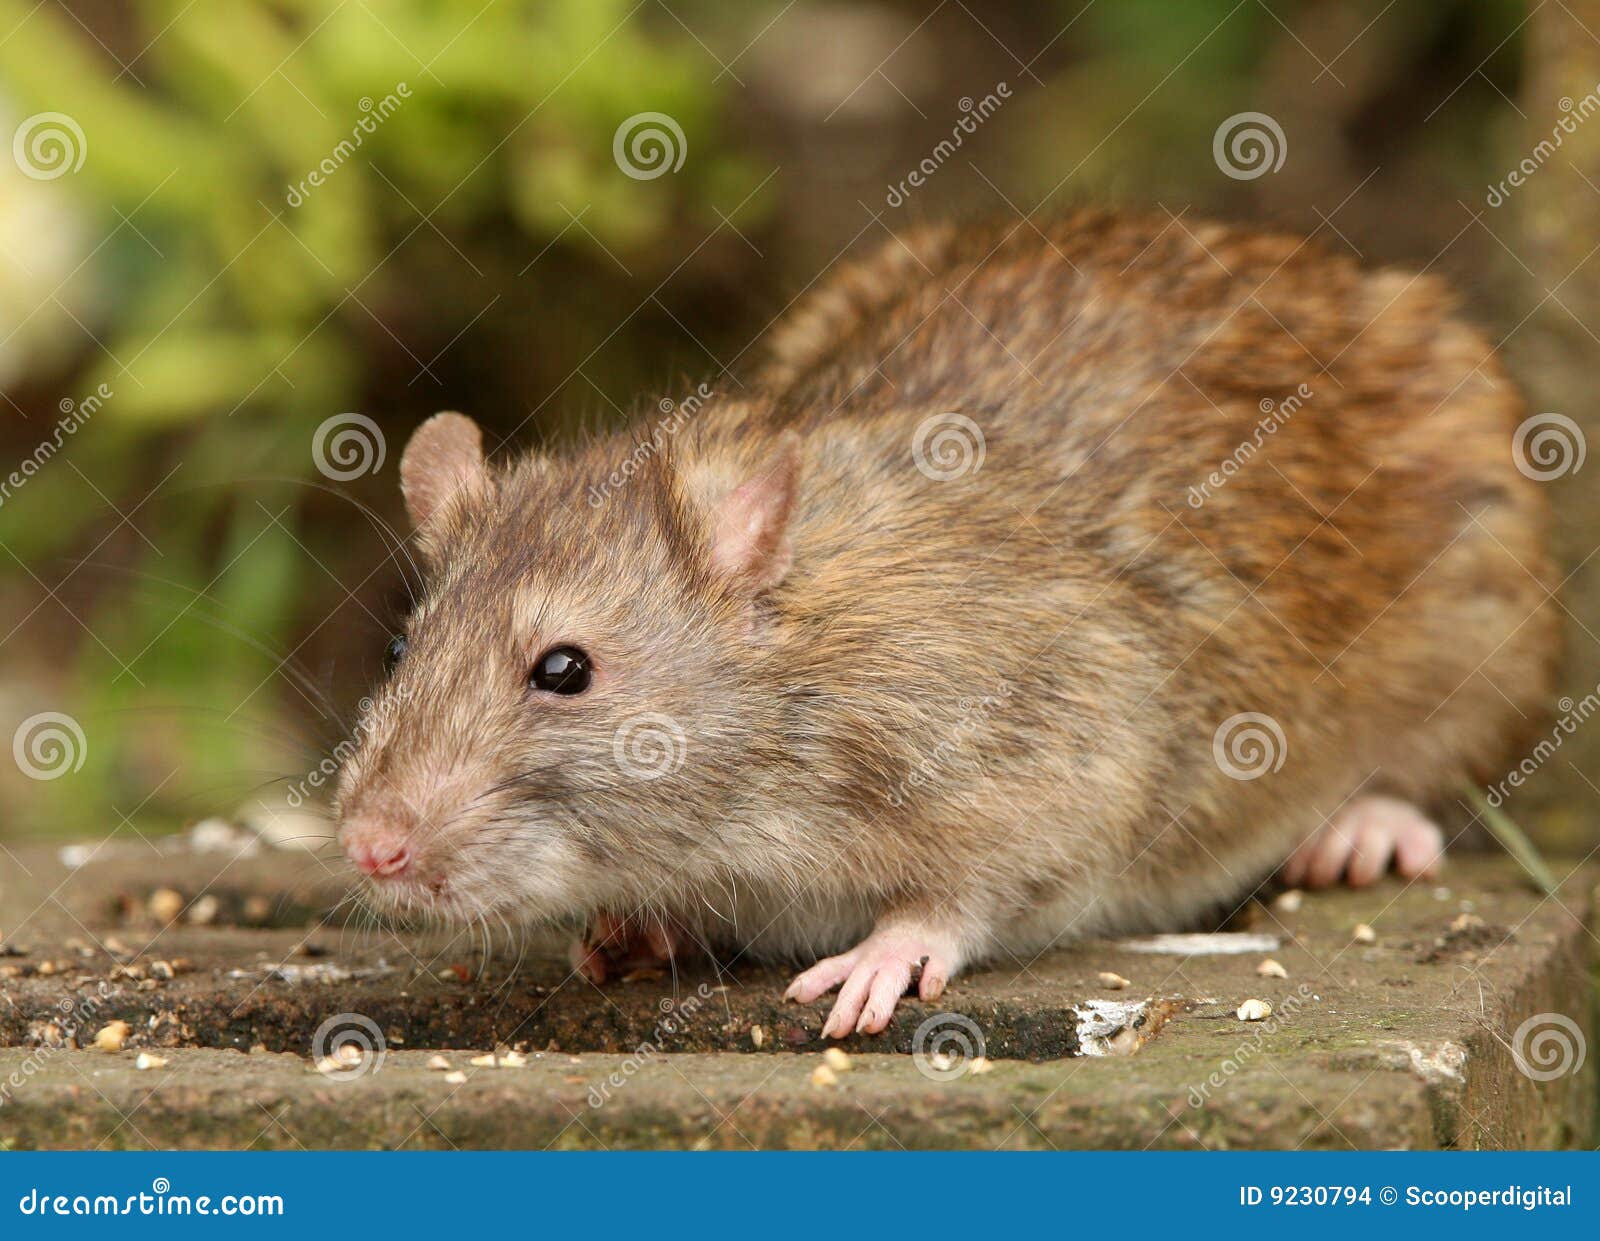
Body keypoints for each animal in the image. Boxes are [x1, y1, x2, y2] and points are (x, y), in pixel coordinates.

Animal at [335, 210, 1558, 1038]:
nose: (370, 846)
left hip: (1489, 590)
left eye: (564, 667)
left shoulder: (1054, 742)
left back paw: (1367, 821)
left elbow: (987, 883)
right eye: (397, 649)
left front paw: (888, 949)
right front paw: (638, 924)